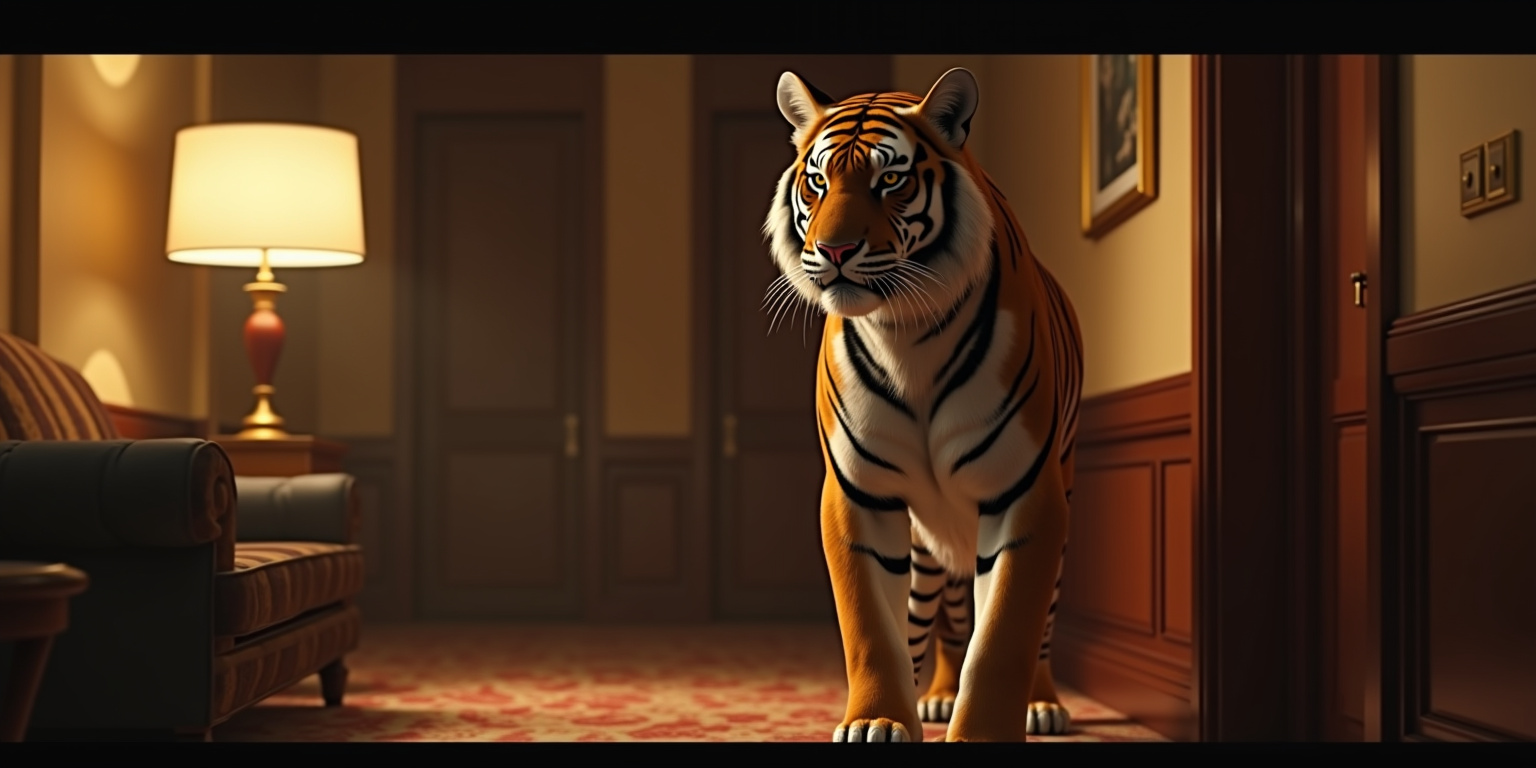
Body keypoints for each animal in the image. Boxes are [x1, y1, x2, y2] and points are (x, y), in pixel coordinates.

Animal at [761, 67, 1083, 742]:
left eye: (890, 180)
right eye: (819, 180)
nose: (834, 250)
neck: (904, 333)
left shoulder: (1026, 494)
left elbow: (1004, 634)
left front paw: (984, 732)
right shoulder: (857, 495)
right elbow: (872, 627)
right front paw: (877, 719)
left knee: (1039, 627)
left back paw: (1042, 706)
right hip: (926, 533)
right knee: (934, 612)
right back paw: (933, 695)